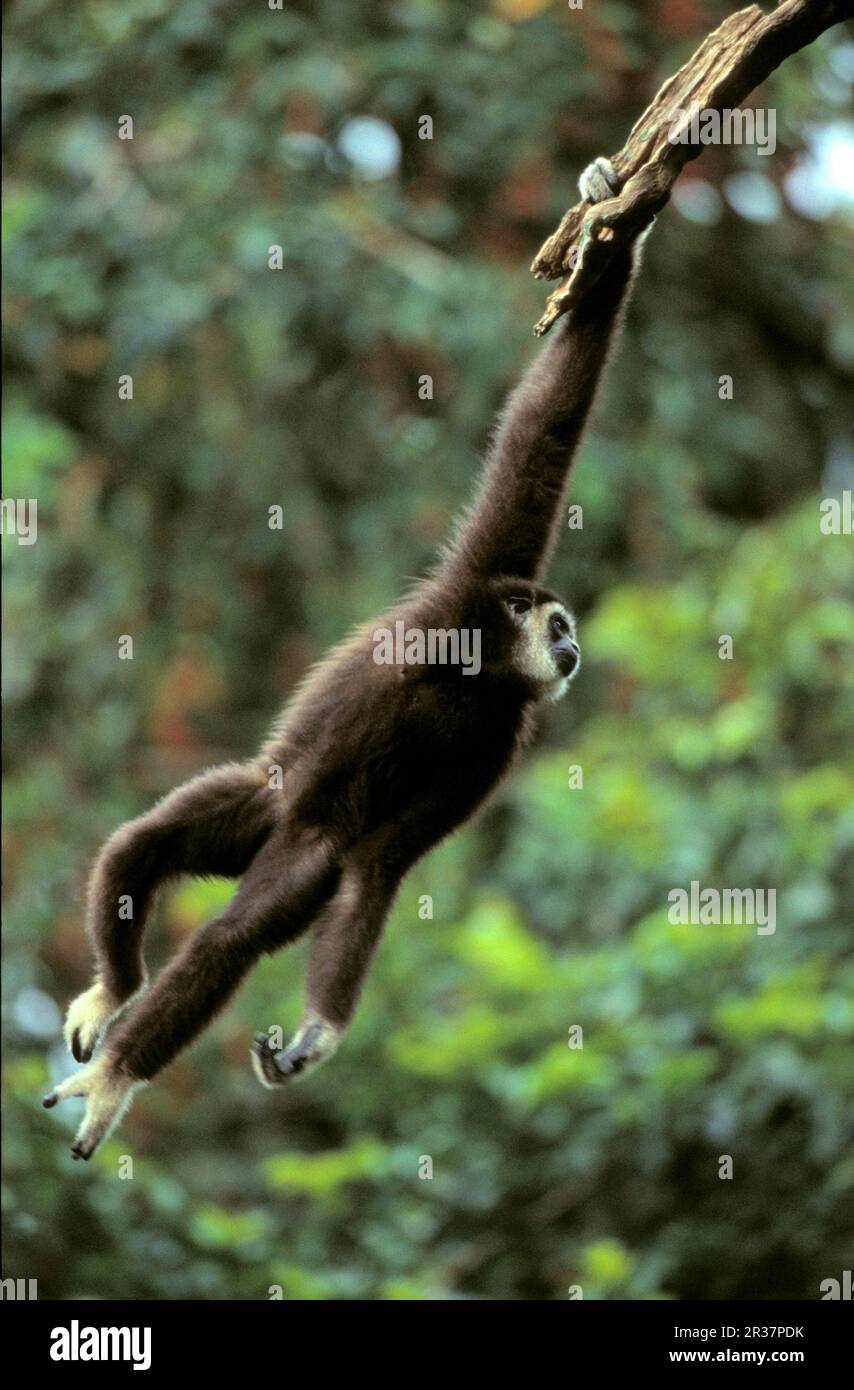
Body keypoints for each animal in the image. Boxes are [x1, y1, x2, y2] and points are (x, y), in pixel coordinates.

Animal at [45, 158, 642, 1159]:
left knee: (227, 919)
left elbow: (379, 869)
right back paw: (114, 1013)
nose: (573, 649)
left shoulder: (493, 744)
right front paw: (615, 227)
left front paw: (319, 1033)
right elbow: (544, 427)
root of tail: (277, 823)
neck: (481, 668)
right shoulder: (477, 585)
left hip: (293, 846)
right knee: (146, 849)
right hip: (269, 801)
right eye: (559, 628)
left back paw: (119, 1047)